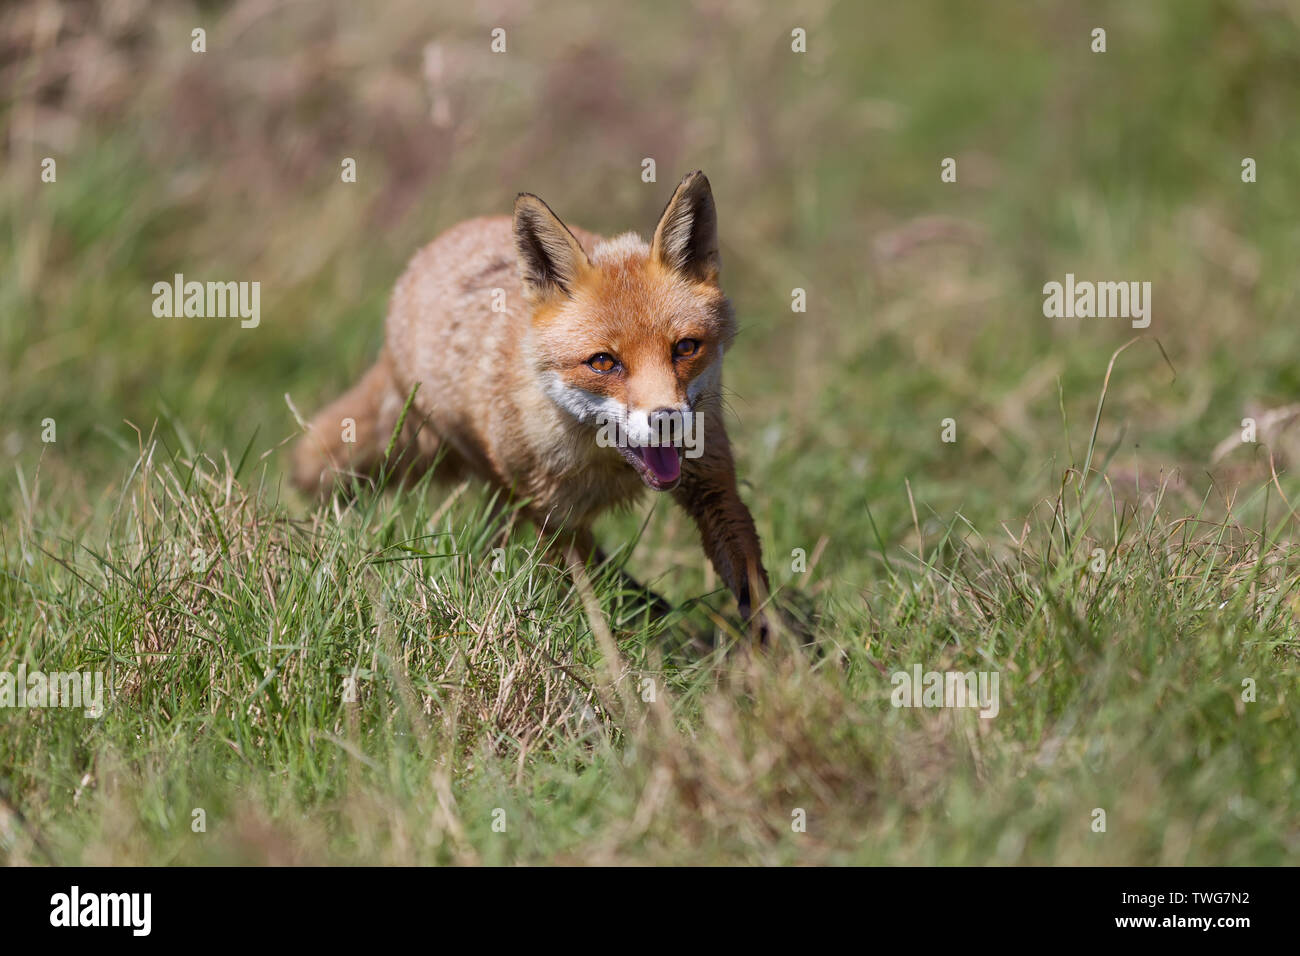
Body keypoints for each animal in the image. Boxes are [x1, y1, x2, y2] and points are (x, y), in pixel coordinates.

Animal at [292, 171, 769, 634]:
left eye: (685, 348)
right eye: (603, 362)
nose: (668, 420)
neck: (607, 466)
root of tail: (431, 249)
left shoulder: (712, 481)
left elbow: (753, 584)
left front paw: (775, 650)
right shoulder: (549, 513)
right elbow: (592, 593)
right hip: (500, 478)